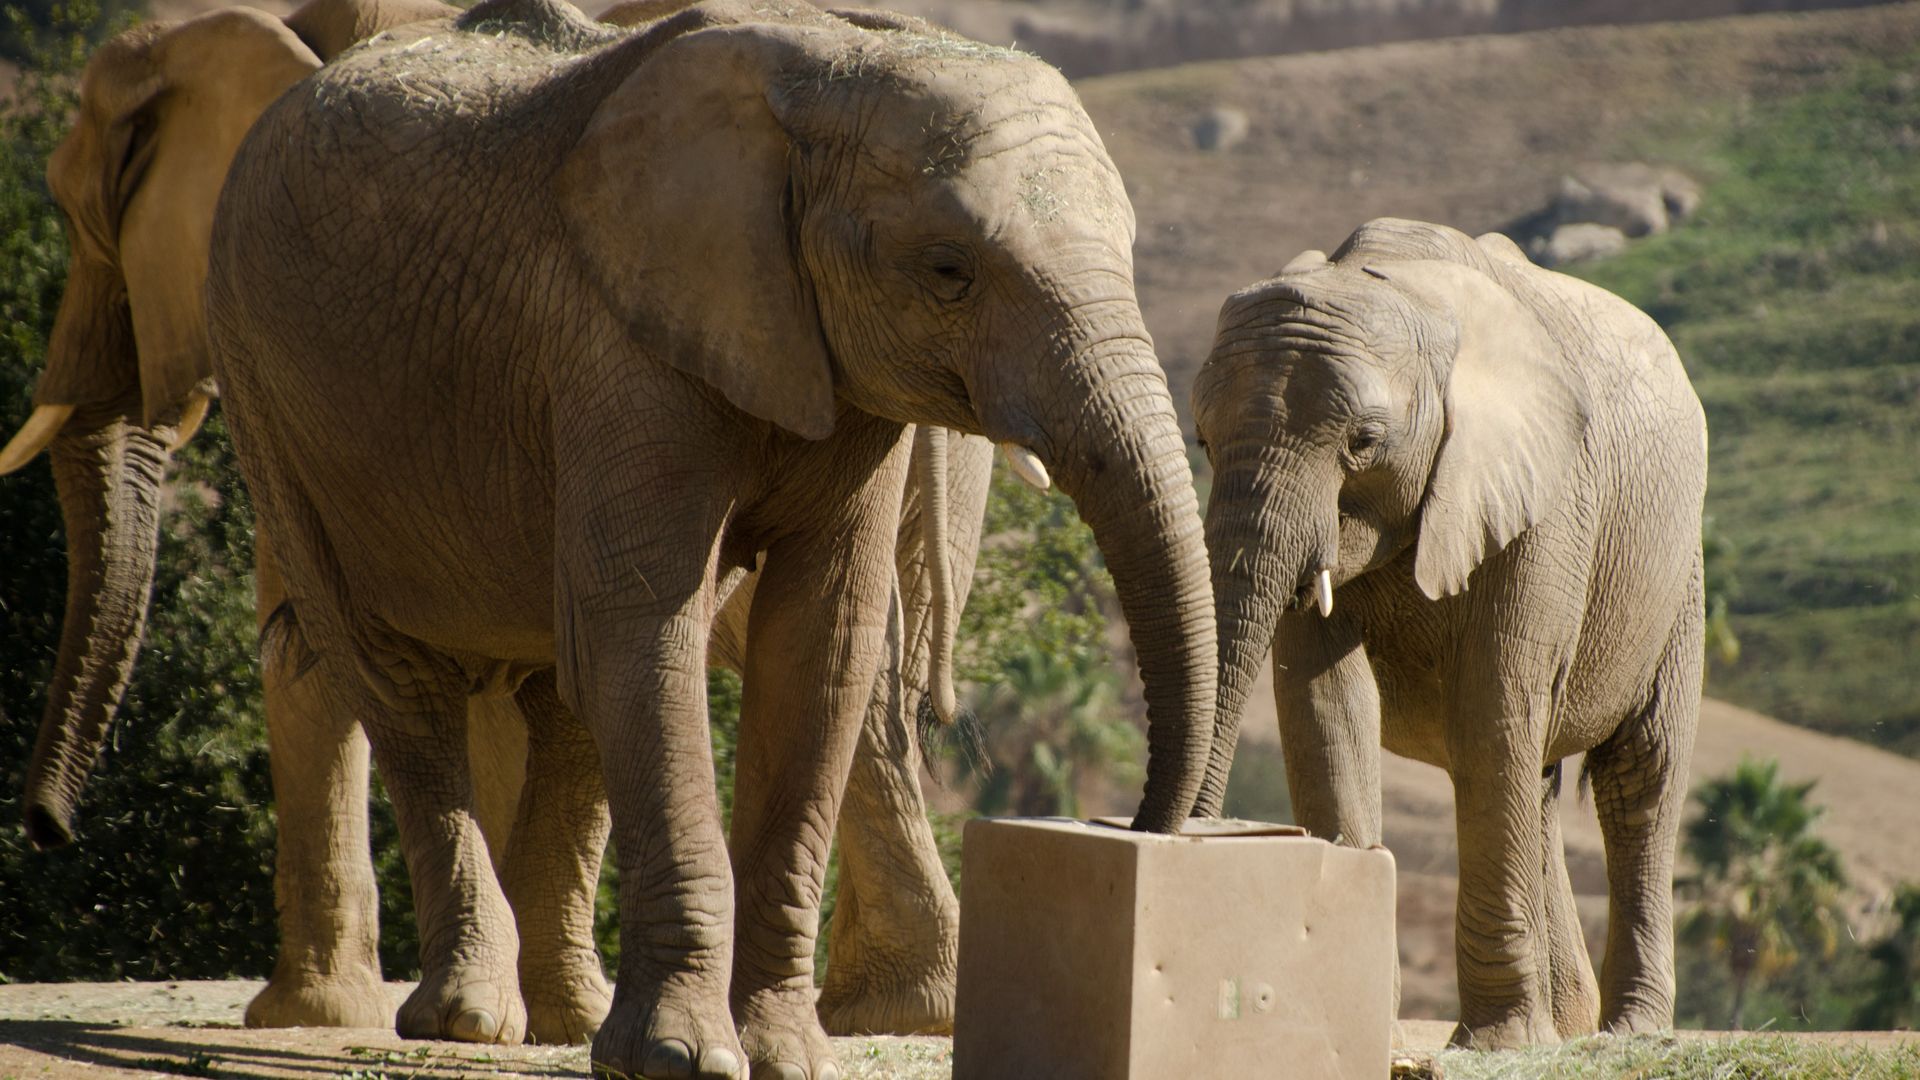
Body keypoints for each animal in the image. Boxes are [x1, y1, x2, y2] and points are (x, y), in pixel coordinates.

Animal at [0, 0, 992, 1046]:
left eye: (80, 217)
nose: (48, 831)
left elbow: (308, 654)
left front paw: (308, 1015)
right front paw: (540, 1016)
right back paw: (872, 1012)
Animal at [202, 0, 1215, 1076]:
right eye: (950, 272)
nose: (1140, 829)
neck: (839, 67)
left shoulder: (833, 368)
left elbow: (820, 644)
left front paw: (782, 1058)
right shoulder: (616, 337)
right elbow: (650, 623)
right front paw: (681, 1059)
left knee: (565, 698)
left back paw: (564, 1023)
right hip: (263, 388)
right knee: (395, 680)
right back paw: (471, 1019)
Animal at [1189, 217, 1705, 1049]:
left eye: (1364, 440)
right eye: (1201, 440)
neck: (1401, 286)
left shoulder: (1545, 499)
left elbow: (1492, 703)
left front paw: (1498, 1044)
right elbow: (1327, 706)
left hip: (1676, 570)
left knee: (1640, 776)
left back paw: (1625, 1033)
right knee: (1537, 778)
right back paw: (1566, 1027)